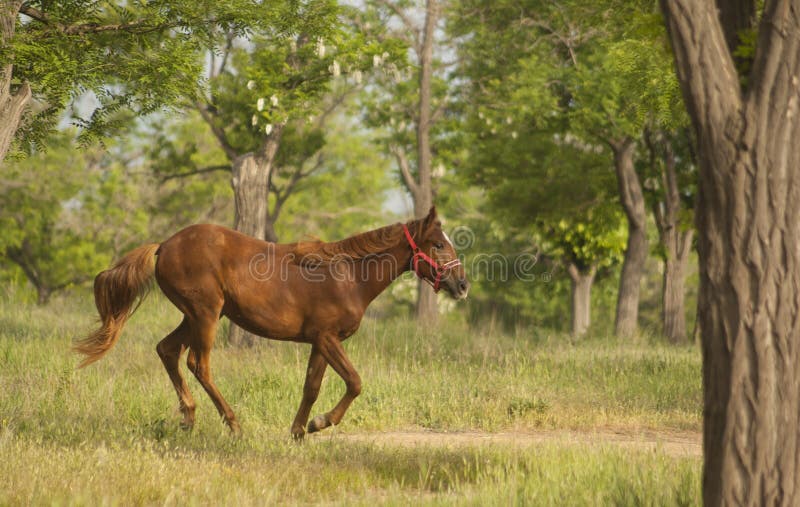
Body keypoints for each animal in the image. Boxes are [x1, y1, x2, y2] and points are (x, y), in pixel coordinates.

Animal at [75, 206, 469, 439]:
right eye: (437, 244)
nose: (462, 284)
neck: (347, 276)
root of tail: (163, 246)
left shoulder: (319, 342)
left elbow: (311, 386)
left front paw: (299, 430)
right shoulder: (328, 338)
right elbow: (355, 382)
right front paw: (320, 423)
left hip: (198, 315)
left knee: (167, 350)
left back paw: (188, 417)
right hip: (204, 314)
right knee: (198, 364)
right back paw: (233, 424)